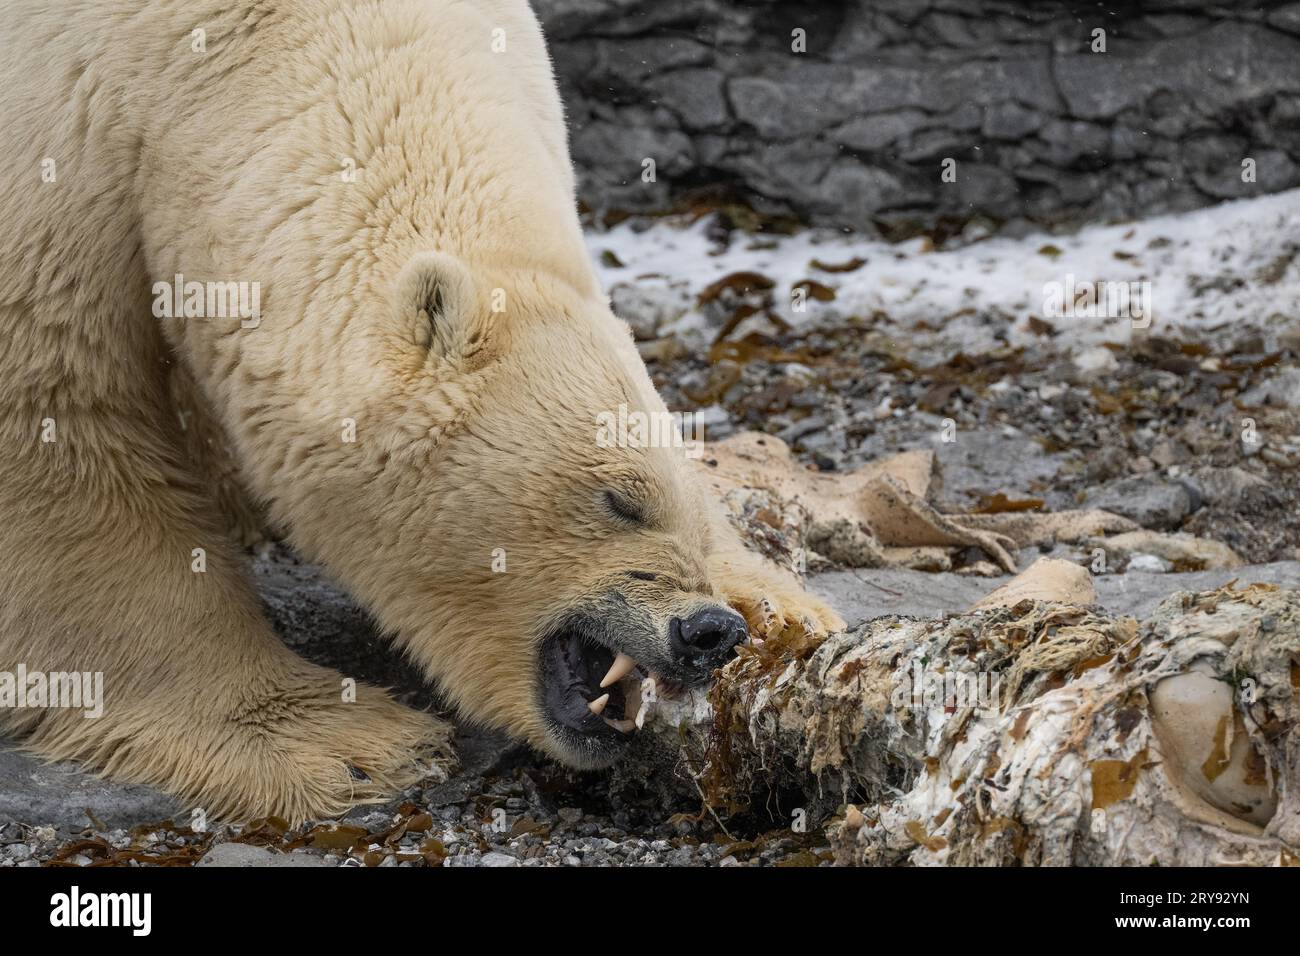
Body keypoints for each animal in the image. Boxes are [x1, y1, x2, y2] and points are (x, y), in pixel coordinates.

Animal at [0, 0, 842, 822]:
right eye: (617, 500)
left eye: (683, 514)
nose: (708, 632)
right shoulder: (68, 146)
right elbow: (62, 429)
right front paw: (343, 741)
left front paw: (777, 605)